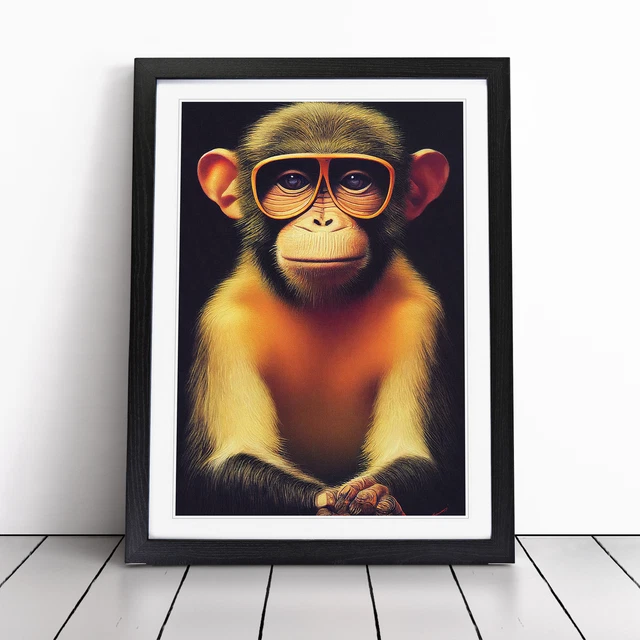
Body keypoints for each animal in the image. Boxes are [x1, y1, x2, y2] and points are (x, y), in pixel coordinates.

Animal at [185, 102, 462, 517]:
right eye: (293, 182)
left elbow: (416, 453)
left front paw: (370, 496)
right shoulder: (224, 322)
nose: (323, 220)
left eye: (355, 181)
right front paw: (336, 501)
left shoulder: (421, 315)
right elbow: (231, 457)